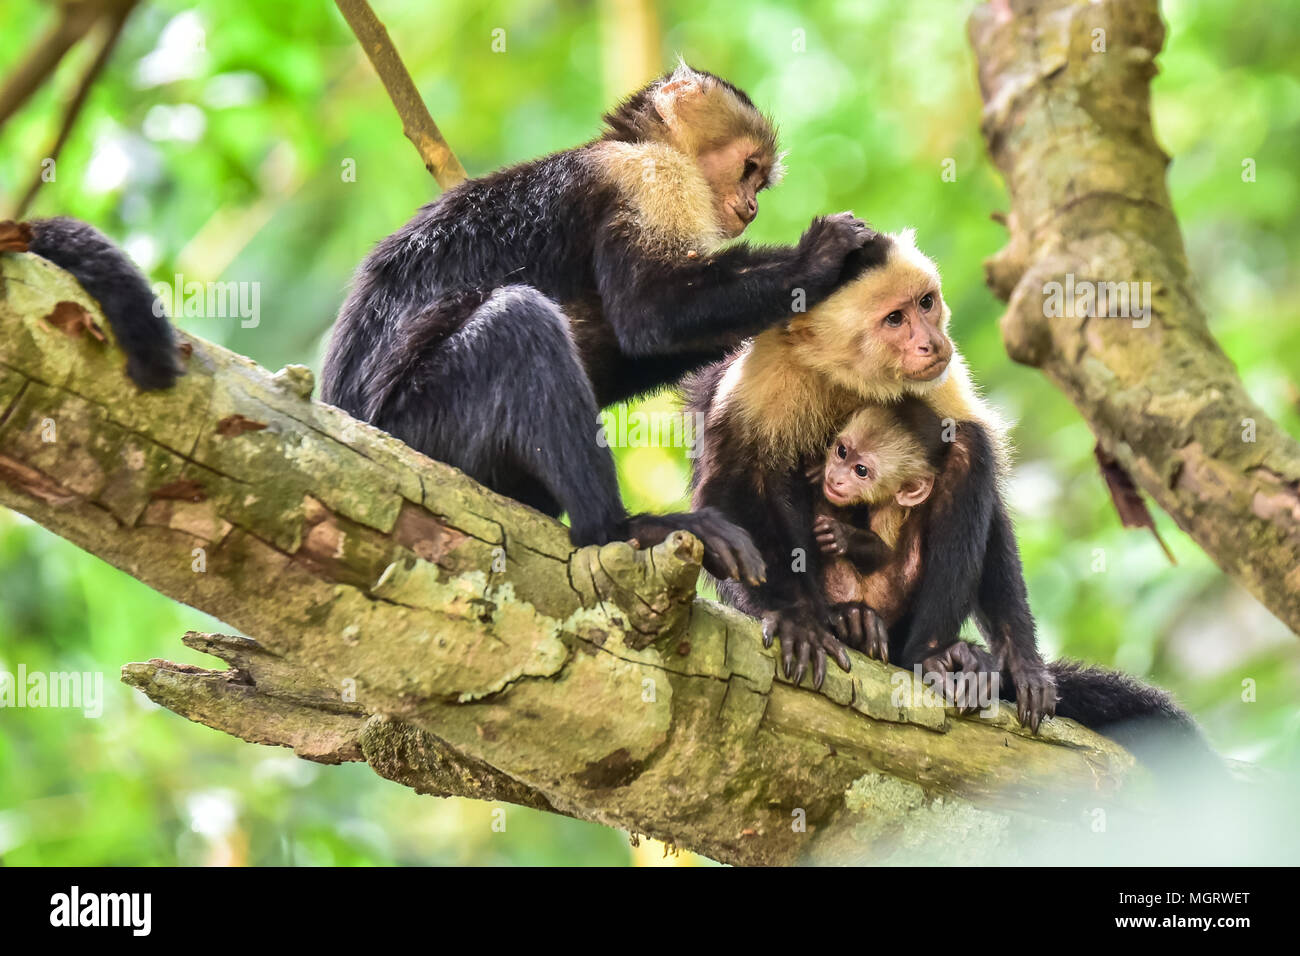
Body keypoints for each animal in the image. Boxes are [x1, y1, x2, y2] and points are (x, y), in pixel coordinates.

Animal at [316, 62, 875, 585]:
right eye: (749, 169)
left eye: (759, 180)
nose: (754, 205)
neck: (631, 143)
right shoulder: (652, 176)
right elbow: (650, 313)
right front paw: (817, 261)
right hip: (415, 429)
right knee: (518, 324)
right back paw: (620, 530)